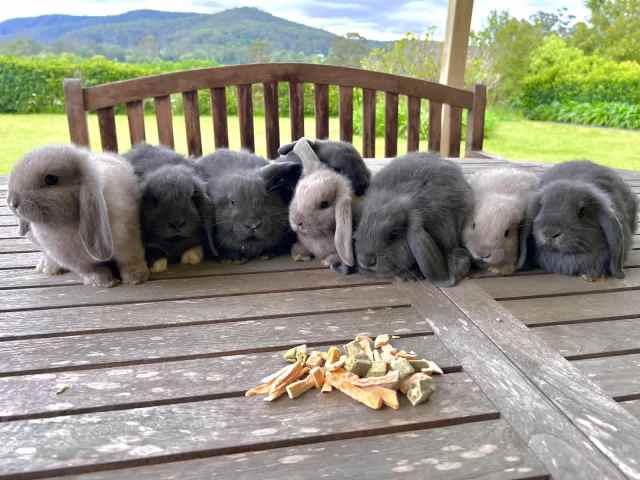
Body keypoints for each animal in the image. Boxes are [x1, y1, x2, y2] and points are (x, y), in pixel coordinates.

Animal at [7, 144, 149, 287]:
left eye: (51, 179)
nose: (13, 203)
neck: (67, 223)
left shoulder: (128, 241)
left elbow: (130, 260)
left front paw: (136, 278)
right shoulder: (76, 262)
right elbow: (93, 270)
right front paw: (104, 282)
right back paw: (49, 268)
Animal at [288, 138, 355, 274]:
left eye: (324, 204)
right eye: (297, 194)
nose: (297, 222)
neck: (317, 237)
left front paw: (328, 261)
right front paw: (300, 255)